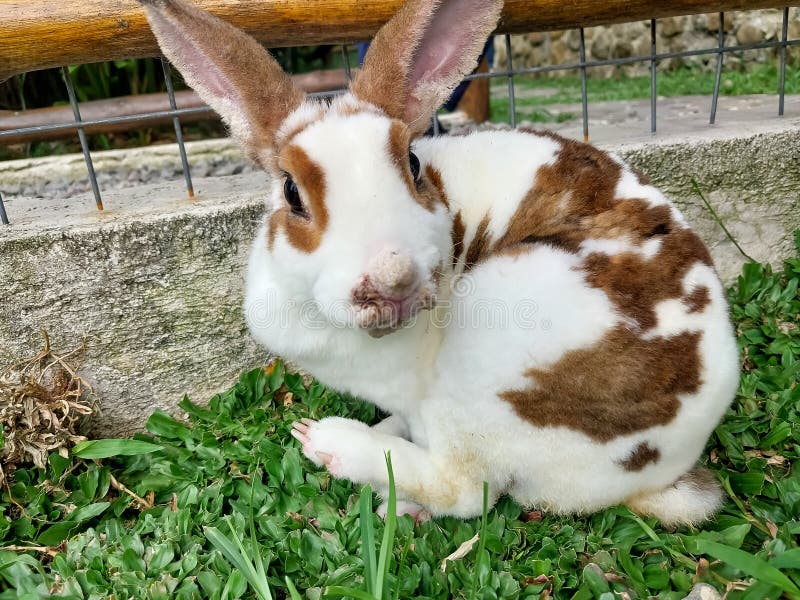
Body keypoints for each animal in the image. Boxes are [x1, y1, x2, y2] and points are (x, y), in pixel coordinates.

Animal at [140, 0, 740, 526]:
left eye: (412, 165)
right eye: (292, 193)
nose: (393, 278)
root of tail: (657, 474)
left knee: (468, 489)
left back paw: (333, 443)